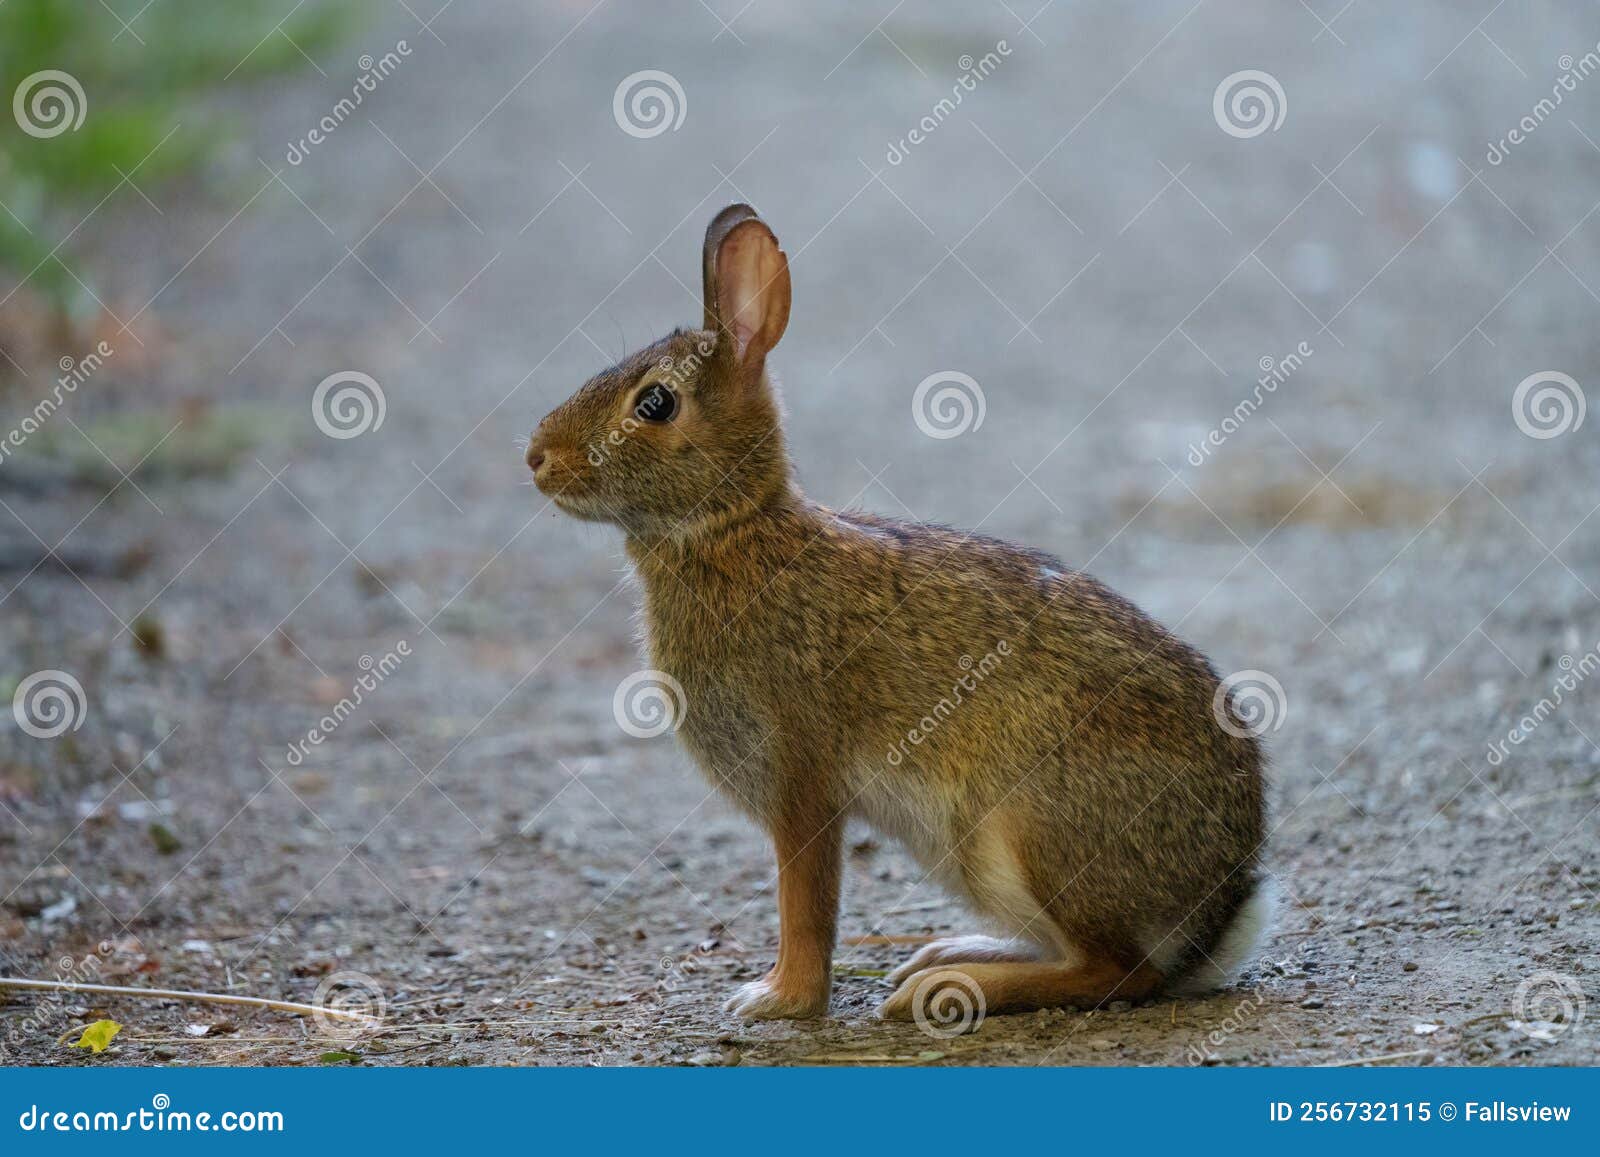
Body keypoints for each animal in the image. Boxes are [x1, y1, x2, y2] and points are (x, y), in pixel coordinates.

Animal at [525, 203, 1269, 1023]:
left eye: (654, 403)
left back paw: (944, 988)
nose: (536, 457)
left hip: (1022, 832)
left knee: (1119, 971)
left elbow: (806, 901)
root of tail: (1219, 908)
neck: (730, 529)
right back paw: (946, 957)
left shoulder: (803, 780)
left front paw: (776, 999)